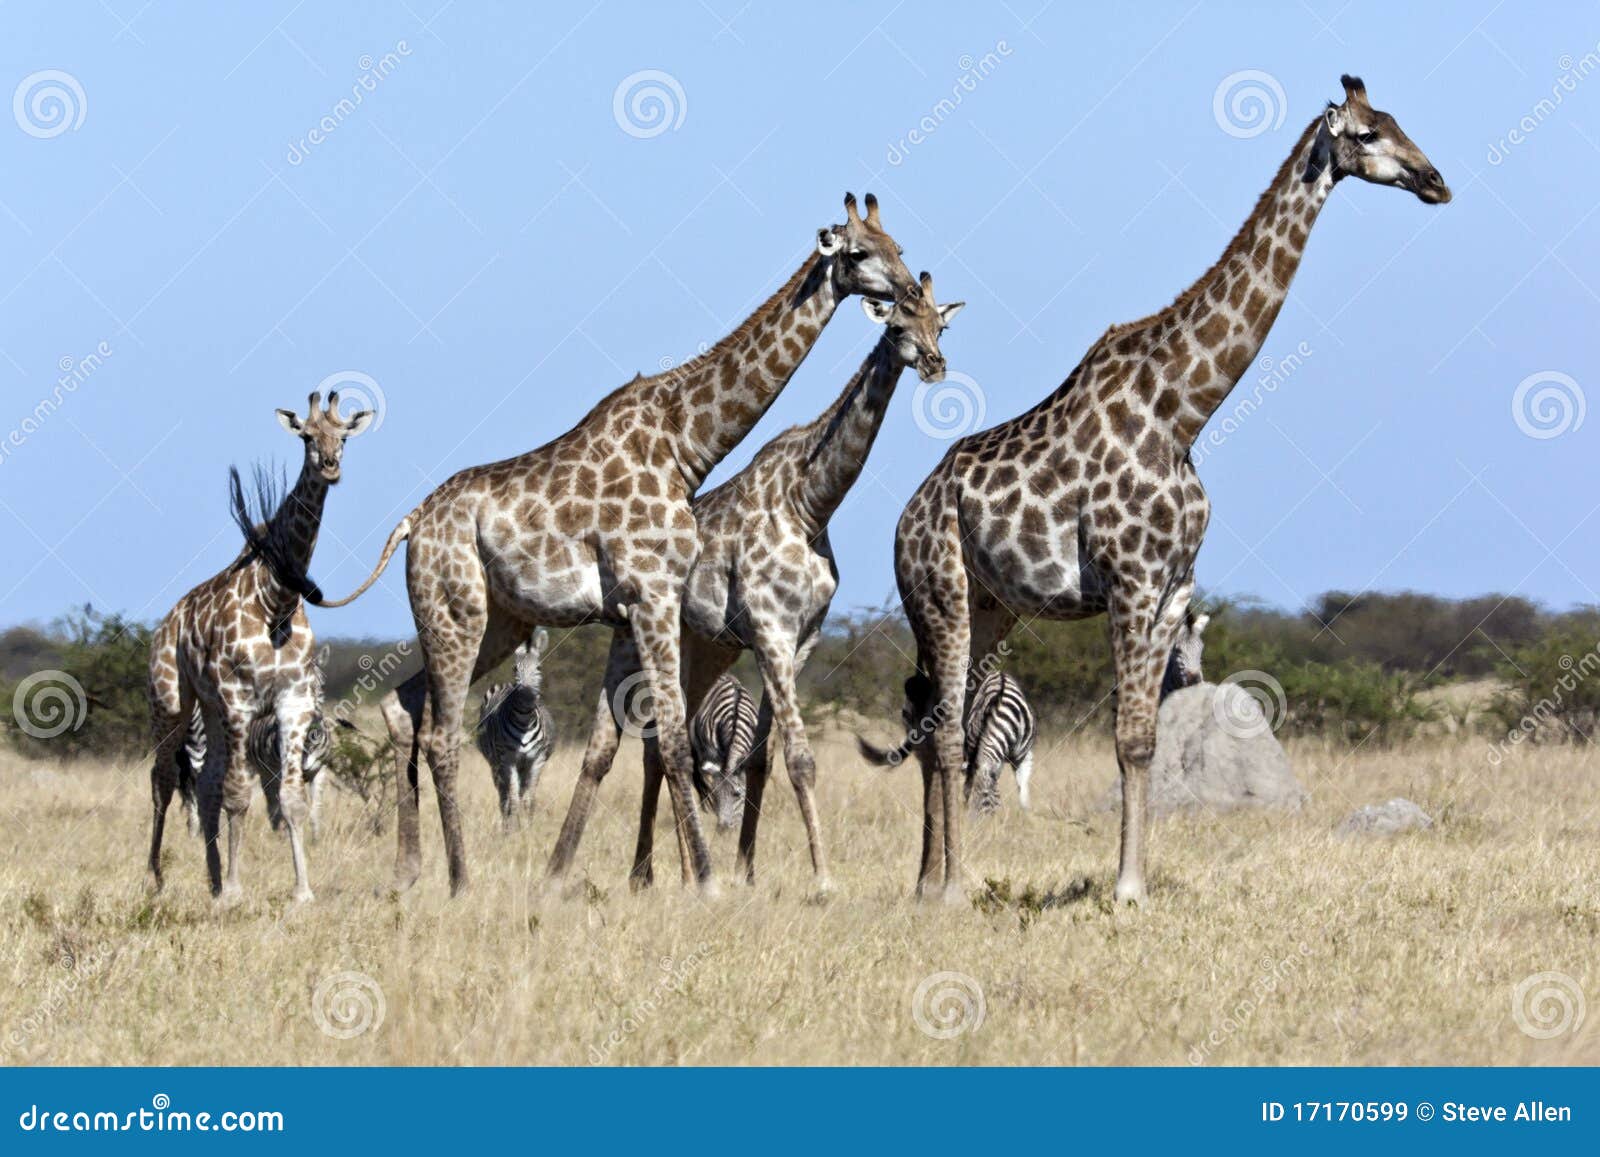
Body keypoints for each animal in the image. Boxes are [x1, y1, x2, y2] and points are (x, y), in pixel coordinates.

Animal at [146, 392, 372, 902]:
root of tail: (168, 620)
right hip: (172, 701)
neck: (277, 600)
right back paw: (156, 880)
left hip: (209, 710)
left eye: (344, 436)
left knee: (206, 781)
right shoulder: (238, 700)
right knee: (165, 779)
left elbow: (288, 799)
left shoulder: (294, 702)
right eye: (306, 437)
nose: (330, 466)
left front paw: (301, 892)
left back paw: (211, 879)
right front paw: (235, 890)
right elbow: (238, 794)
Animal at [476, 629, 555, 829]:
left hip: (523, 765)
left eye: (538, 668)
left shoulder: (537, 759)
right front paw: (513, 830)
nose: (526, 697)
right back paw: (507, 826)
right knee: (504, 796)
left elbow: (528, 800)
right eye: (514, 669)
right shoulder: (507, 760)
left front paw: (527, 829)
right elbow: (512, 799)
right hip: (495, 764)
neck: (524, 721)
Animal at [888, 75, 1450, 904]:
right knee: (950, 730)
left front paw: (1138, 883)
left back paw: (930, 883)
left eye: (1399, 120)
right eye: (1368, 133)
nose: (1436, 180)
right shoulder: (1128, 579)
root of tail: (903, 516)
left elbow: (1147, 740)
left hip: (992, 608)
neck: (1183, 409)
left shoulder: (1173, 587)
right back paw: (952, 887)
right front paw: (1124, 889)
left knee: (938, 726)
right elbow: (1123, 737)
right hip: (939, 596)